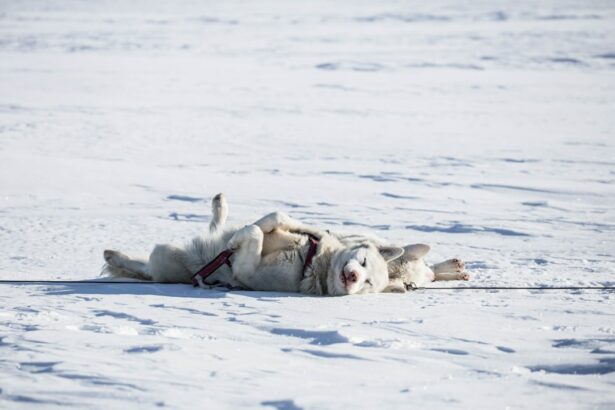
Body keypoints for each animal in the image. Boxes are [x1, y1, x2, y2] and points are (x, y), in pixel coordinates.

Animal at [103, 194, 470, 296]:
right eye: (364, 264)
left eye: (368, 284)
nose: (352, 279)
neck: (313, 261)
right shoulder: (306, 231)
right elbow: (275, 218)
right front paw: (255, 228)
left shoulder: (251, 272)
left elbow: (251, 238)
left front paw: (242, 239)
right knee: (216, 228)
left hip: (166, 258)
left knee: (146, 267)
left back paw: (116, 257)